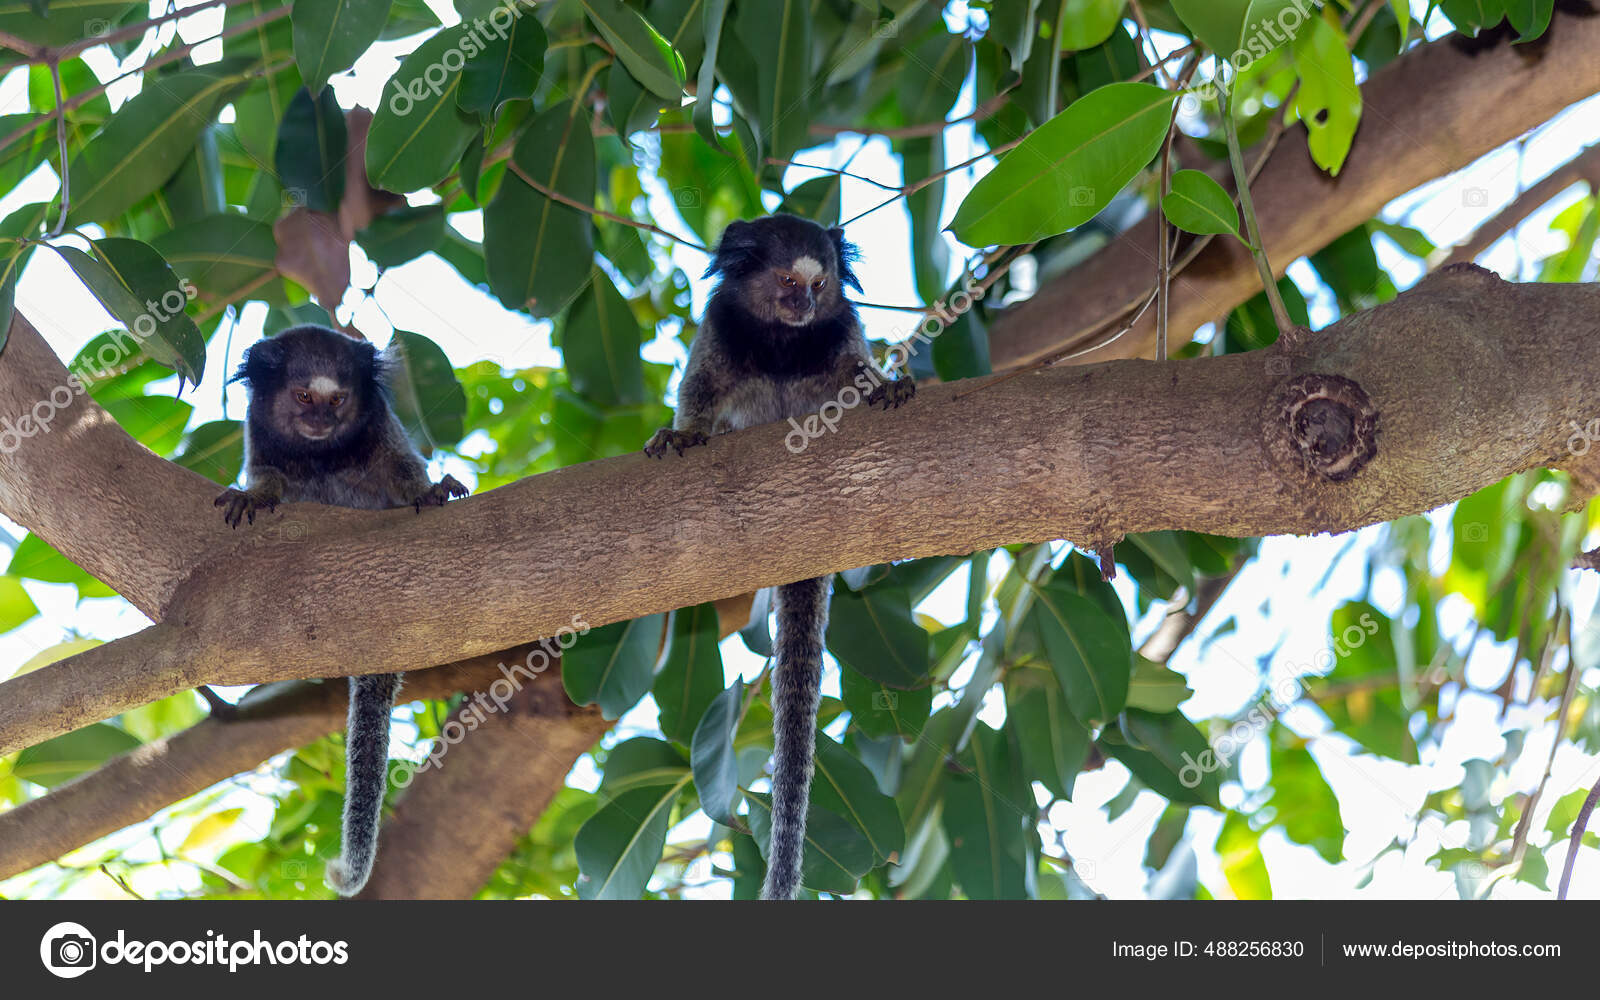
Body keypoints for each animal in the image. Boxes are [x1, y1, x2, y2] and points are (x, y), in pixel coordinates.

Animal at [214, 324, 468, 896]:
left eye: (338, 401)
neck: (322, 454)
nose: (321, 420)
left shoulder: (380, 431)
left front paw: (429, 490)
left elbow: (403, 471)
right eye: (304, 396)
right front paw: (256, 494)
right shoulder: (260, 436)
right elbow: (267, 476)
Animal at [644, 215, 914, 899]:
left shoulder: (840, 332)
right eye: (788, 282)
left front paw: (885, 388)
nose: (806, 305)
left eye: (820, 285)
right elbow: (701, 389)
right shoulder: (719, 328)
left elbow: (855, 372)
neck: (780, 339)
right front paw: (685, 432)